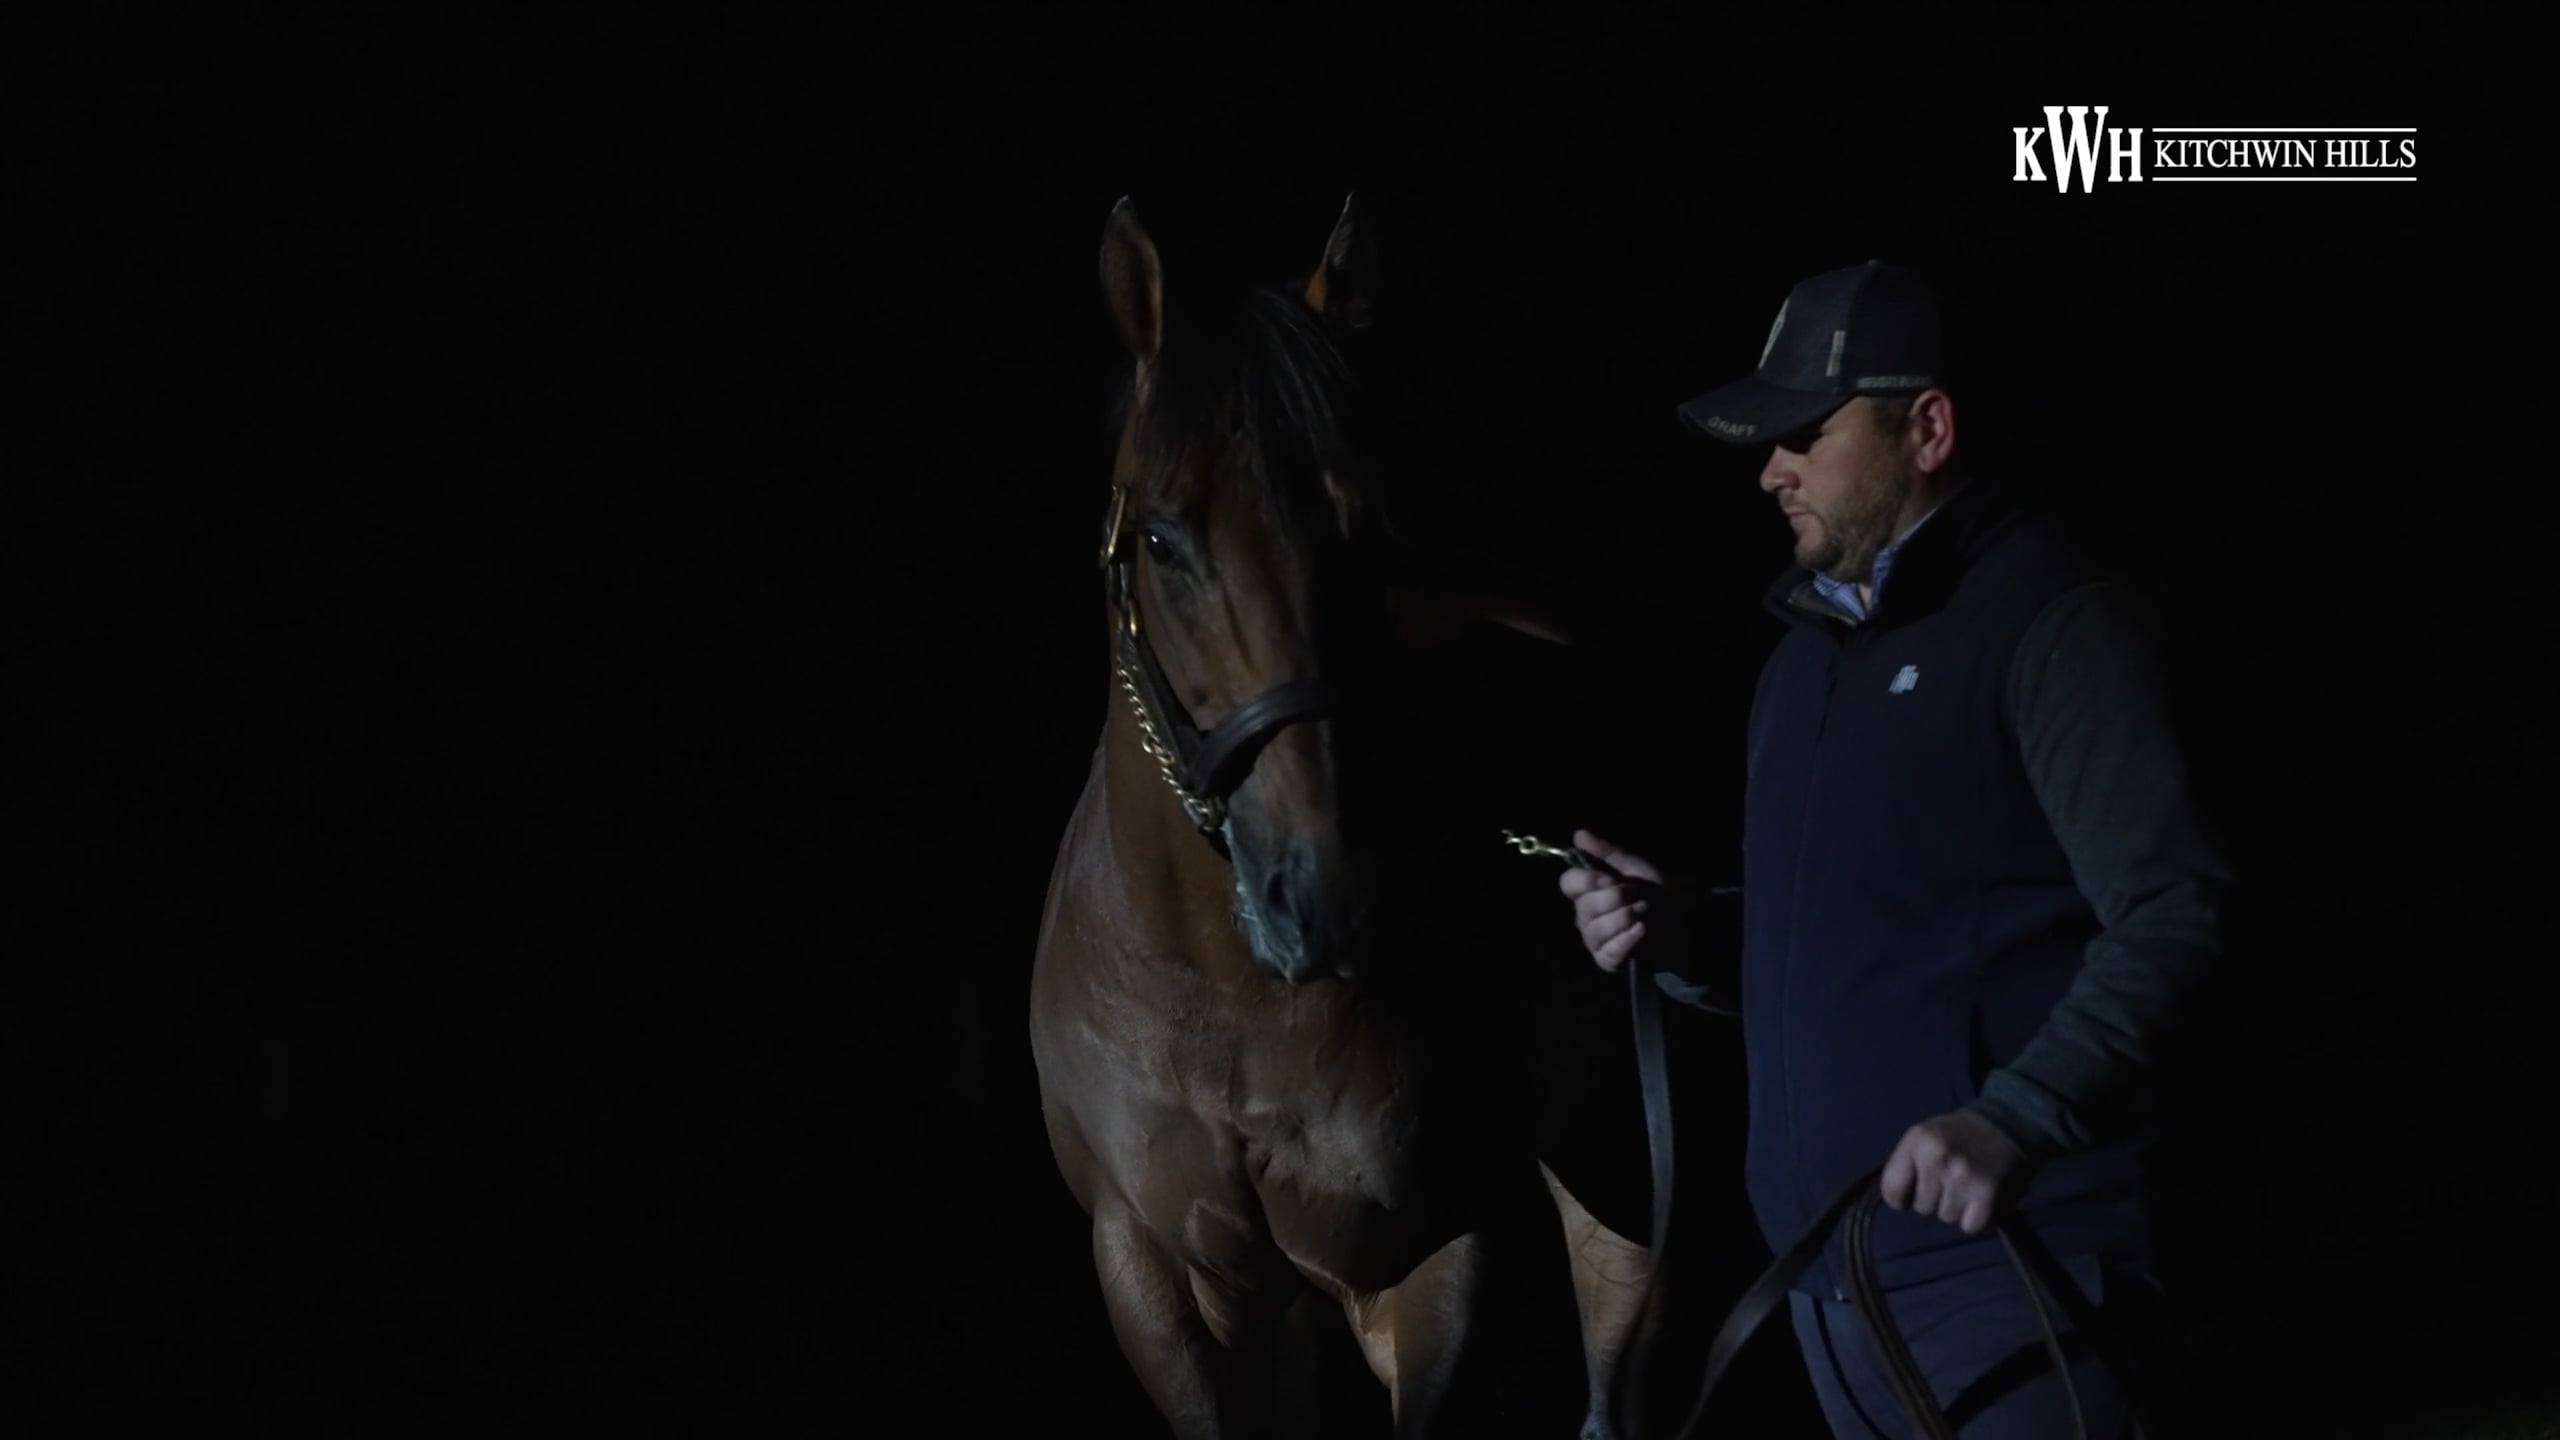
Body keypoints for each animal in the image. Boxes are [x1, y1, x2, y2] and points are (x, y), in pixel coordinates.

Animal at [1027, 193, 1663, 1440]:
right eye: (1161, 540)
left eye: (1368, 531)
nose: (1328, 901)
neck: (1214, 994)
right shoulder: (1158, 1281)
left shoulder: (1426, 1259)